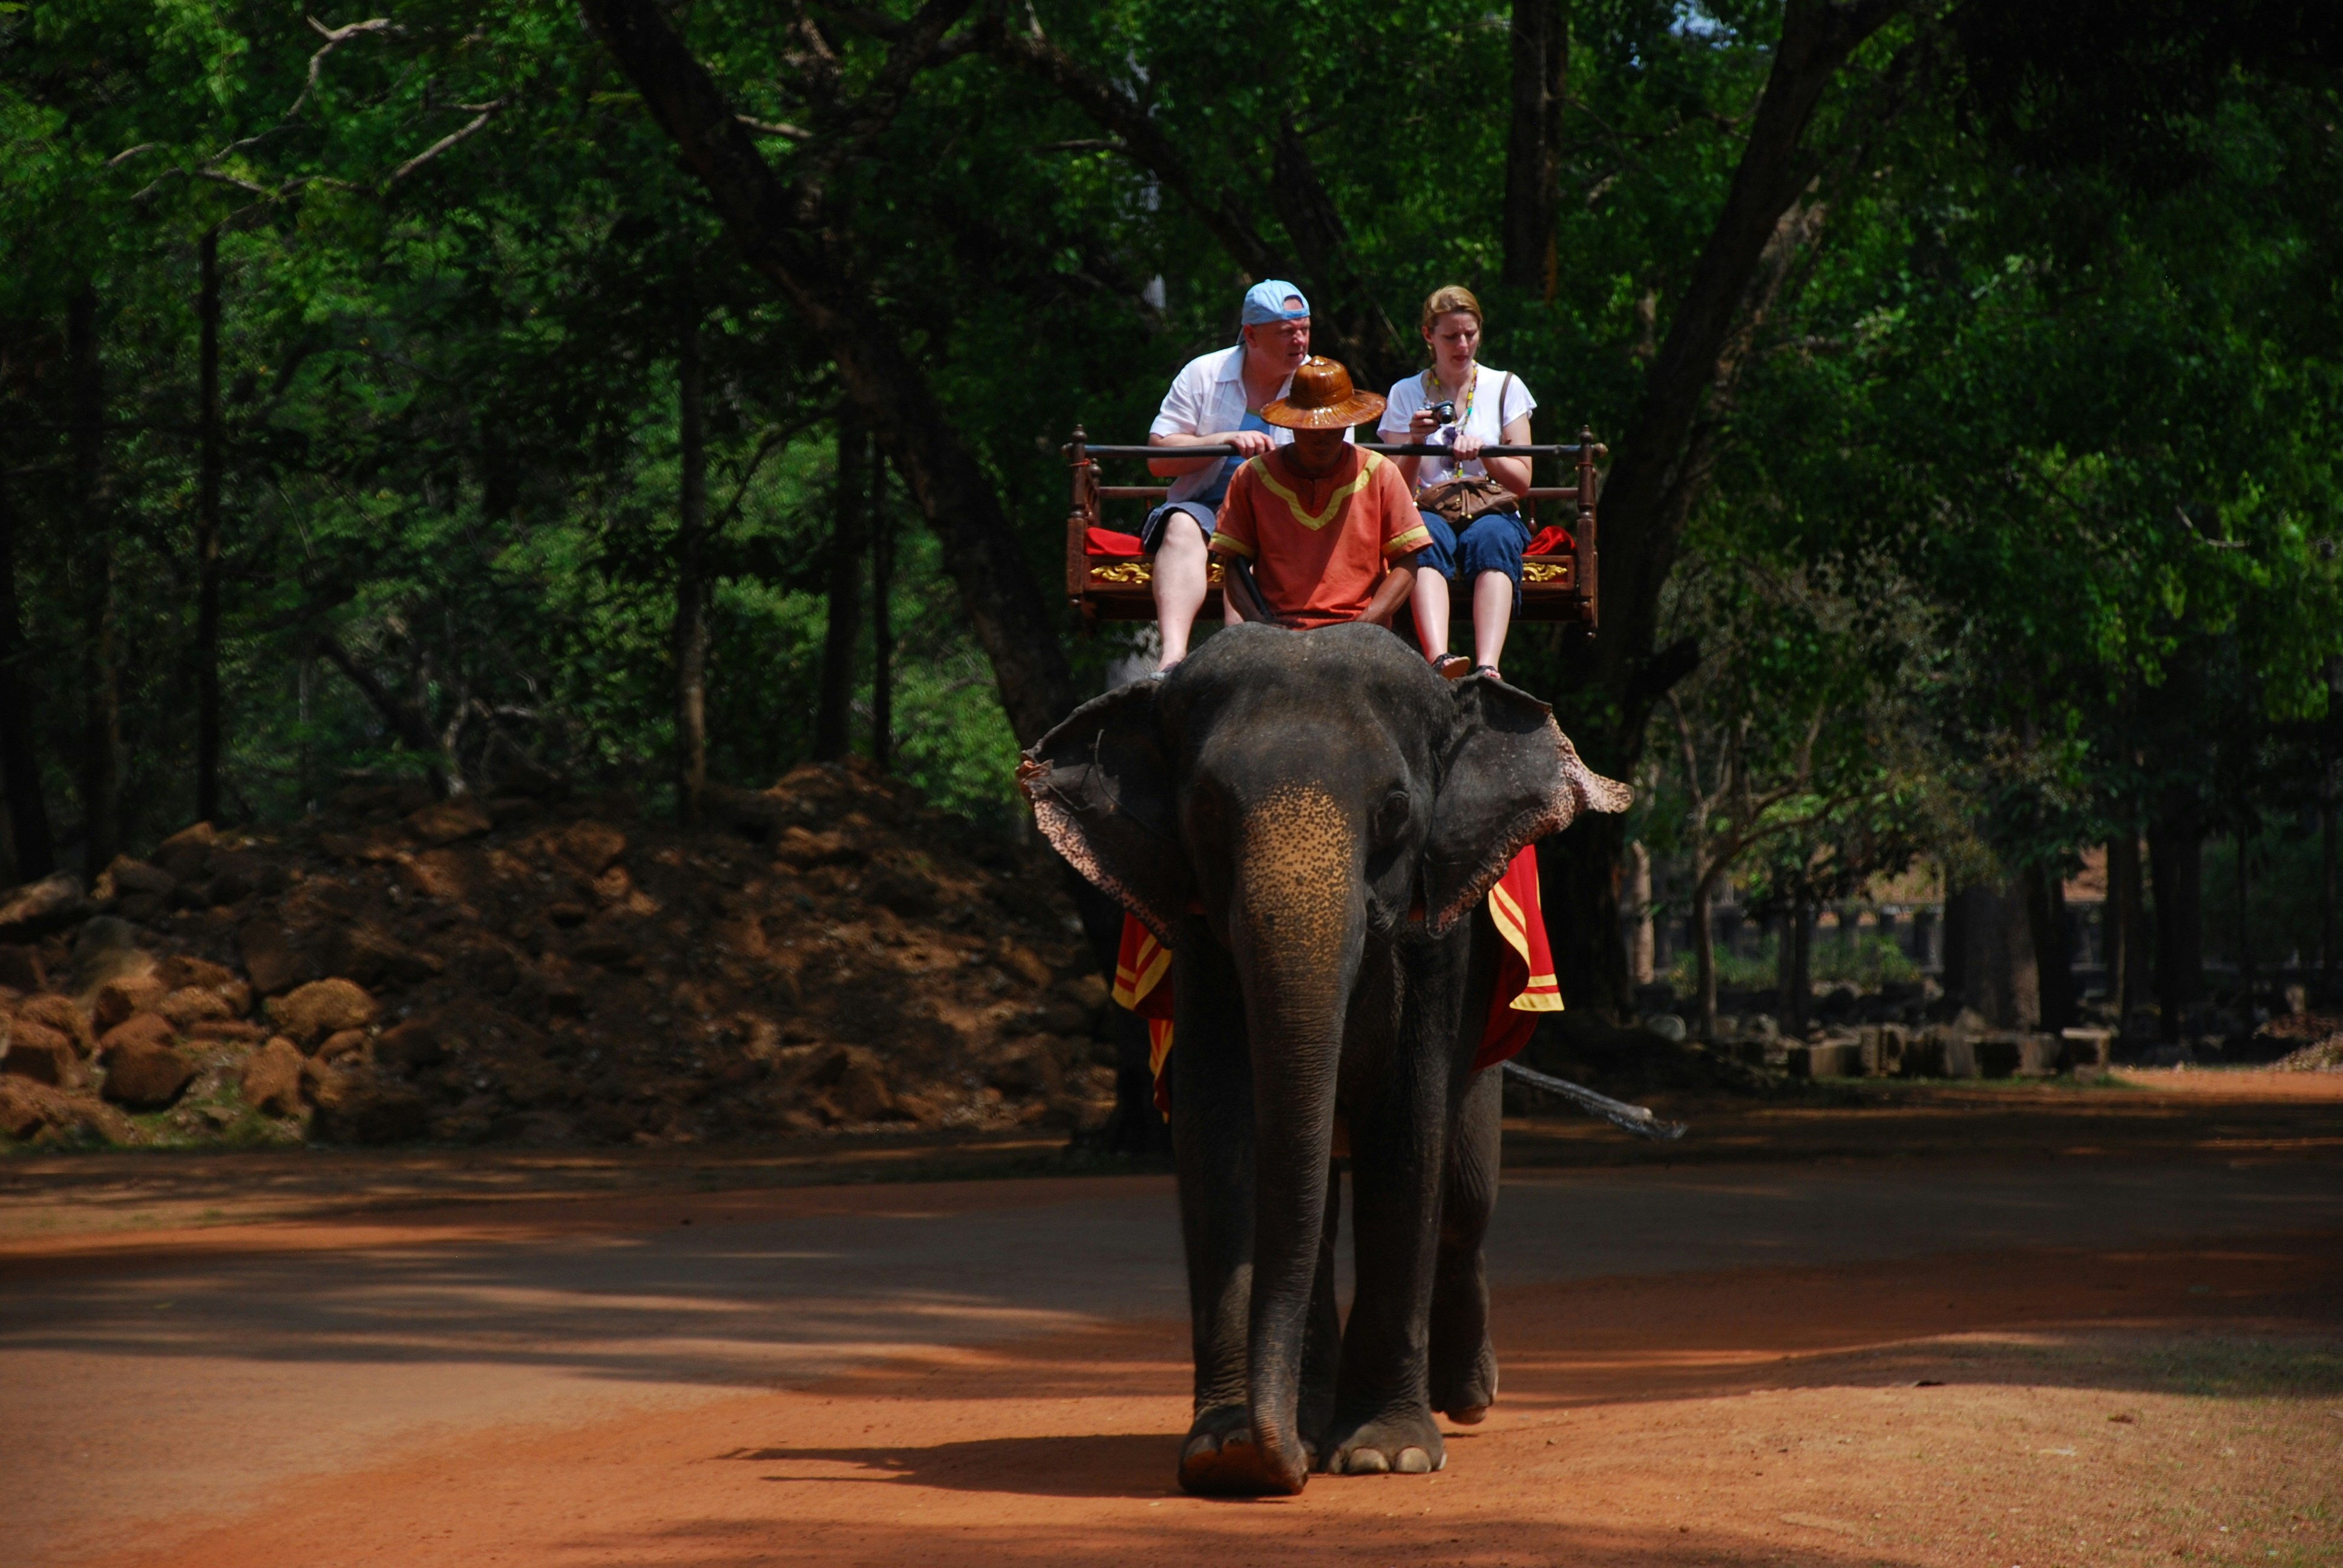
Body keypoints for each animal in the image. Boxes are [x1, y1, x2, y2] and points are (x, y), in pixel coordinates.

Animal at [1019, 621, 1629, 1496]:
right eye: (1206, 808)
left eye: (1396, 808)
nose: (1271, 1461)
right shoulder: (1201, 937)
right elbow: (1222, 1131)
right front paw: (1225, 1451)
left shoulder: (1441, 935)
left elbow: (1406, 1133)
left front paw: (1384, 1454)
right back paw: (1312, 1418)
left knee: (1464, 1192)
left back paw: (1464, 1399)